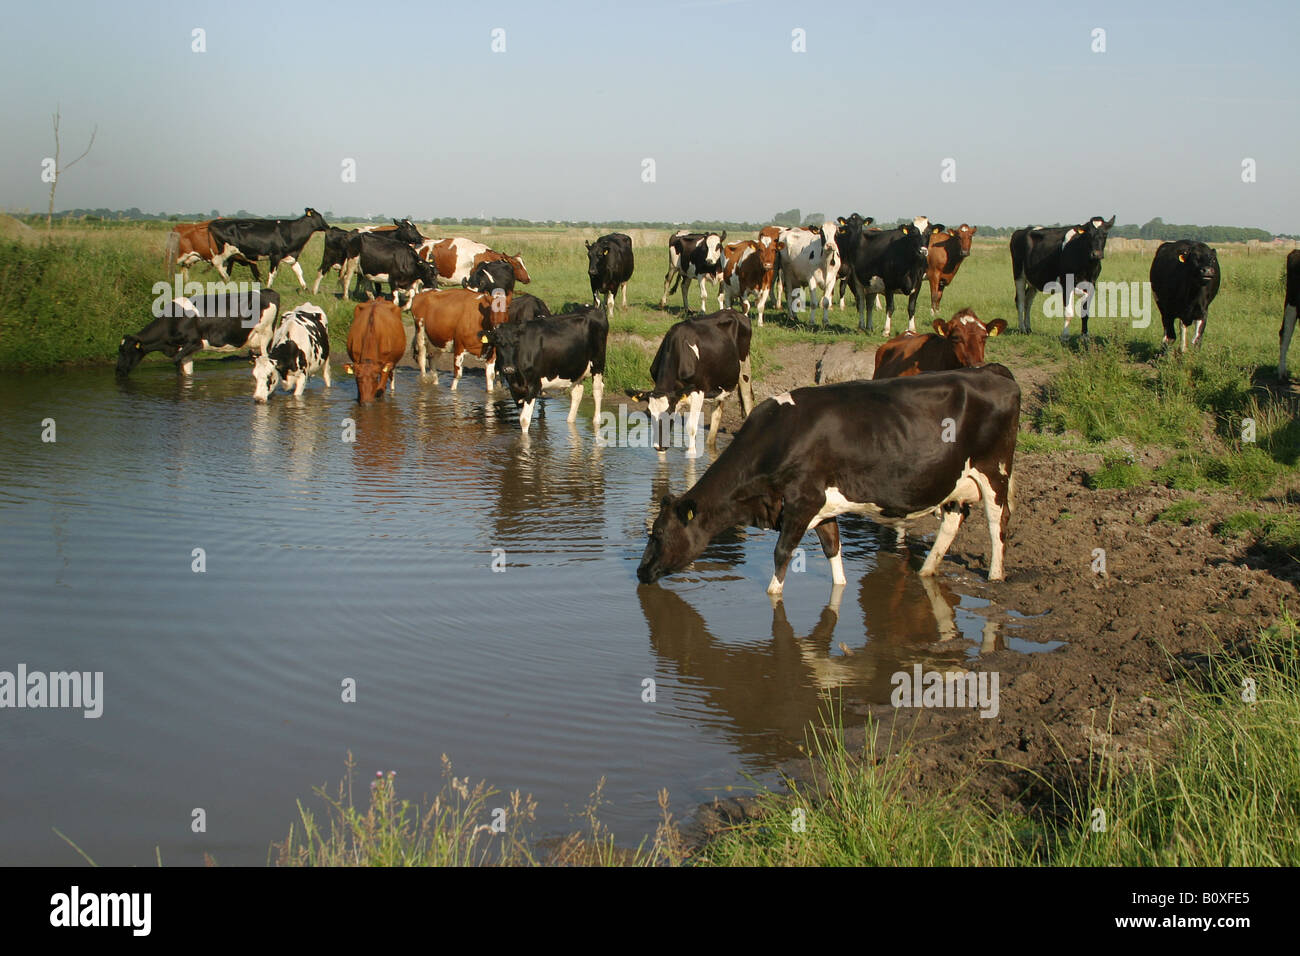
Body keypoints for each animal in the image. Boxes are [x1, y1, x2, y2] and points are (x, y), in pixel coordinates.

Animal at [116, 289, 281, 378]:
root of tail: (268, 291)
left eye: (126, 351)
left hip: (266, 336)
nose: (118, 371)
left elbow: (176, 362)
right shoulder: (186, 350)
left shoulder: (194, 342)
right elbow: (187, 370)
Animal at [636, 364, 1021, 594]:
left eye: (658, 534)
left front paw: (773, 598)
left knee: (997, 521)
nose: (640, 572)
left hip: (994, 472)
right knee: (953, 519)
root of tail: (994, 371)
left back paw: (995, 575)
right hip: (954, 481)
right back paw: (927, 570)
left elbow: (781, 556)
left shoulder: (802, 502)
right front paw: (840, 589)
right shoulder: (823, 507)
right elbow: (833, 550)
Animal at [642, 309, 756, 456]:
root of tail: (735, 312)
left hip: (745, 367)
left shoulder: (698, 391)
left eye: (668, 413)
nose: (659, 446)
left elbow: (691, 427)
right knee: (717, 413)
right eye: (650, 414)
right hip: (720, 379)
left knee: (748, 402)